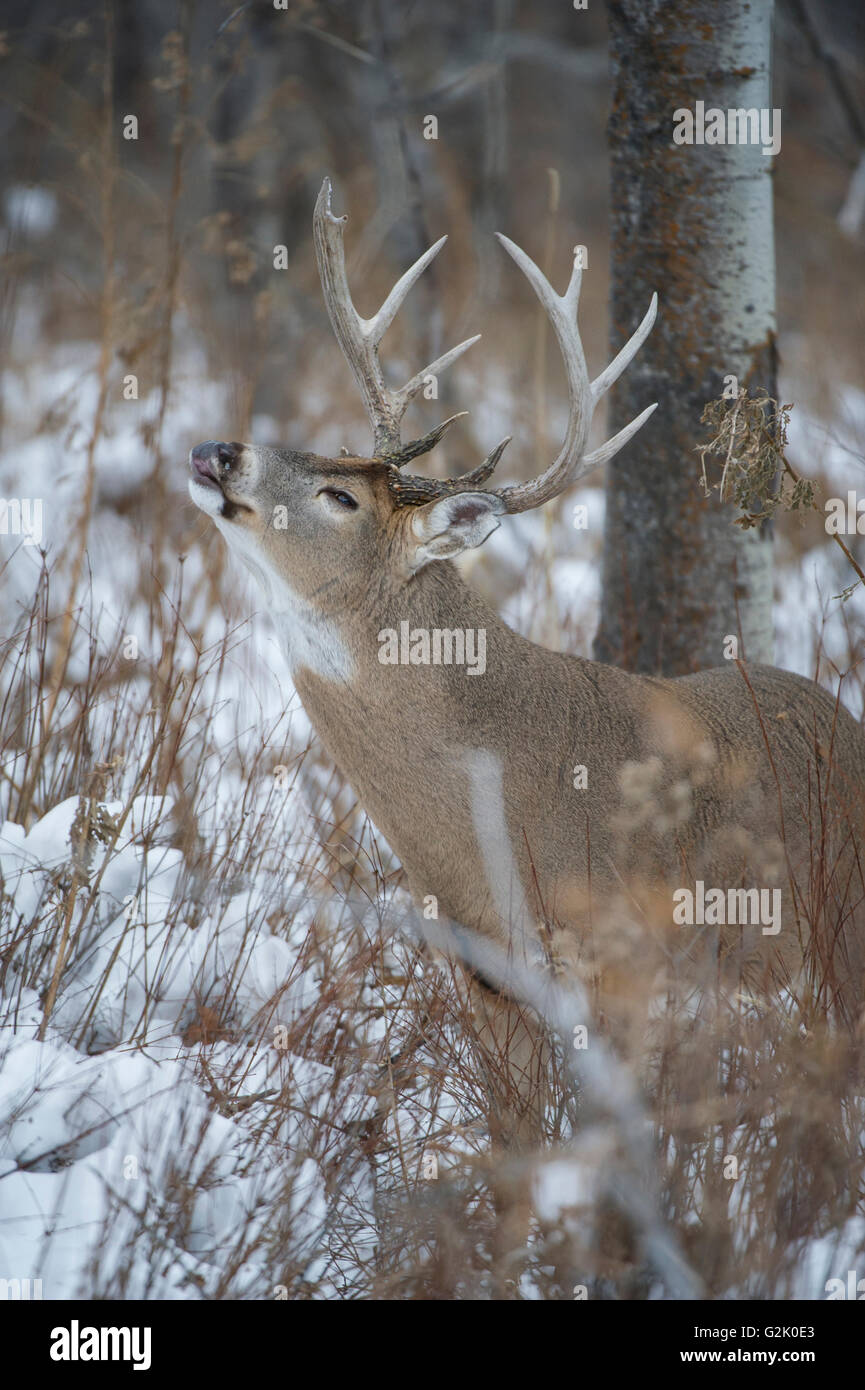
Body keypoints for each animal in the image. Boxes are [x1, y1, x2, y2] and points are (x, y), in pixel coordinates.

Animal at [187, 179, 865, 1159]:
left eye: (340, 495)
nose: (218, 449)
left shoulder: (630, 963)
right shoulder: (488, 982)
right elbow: (518, 1140)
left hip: (837, 927)